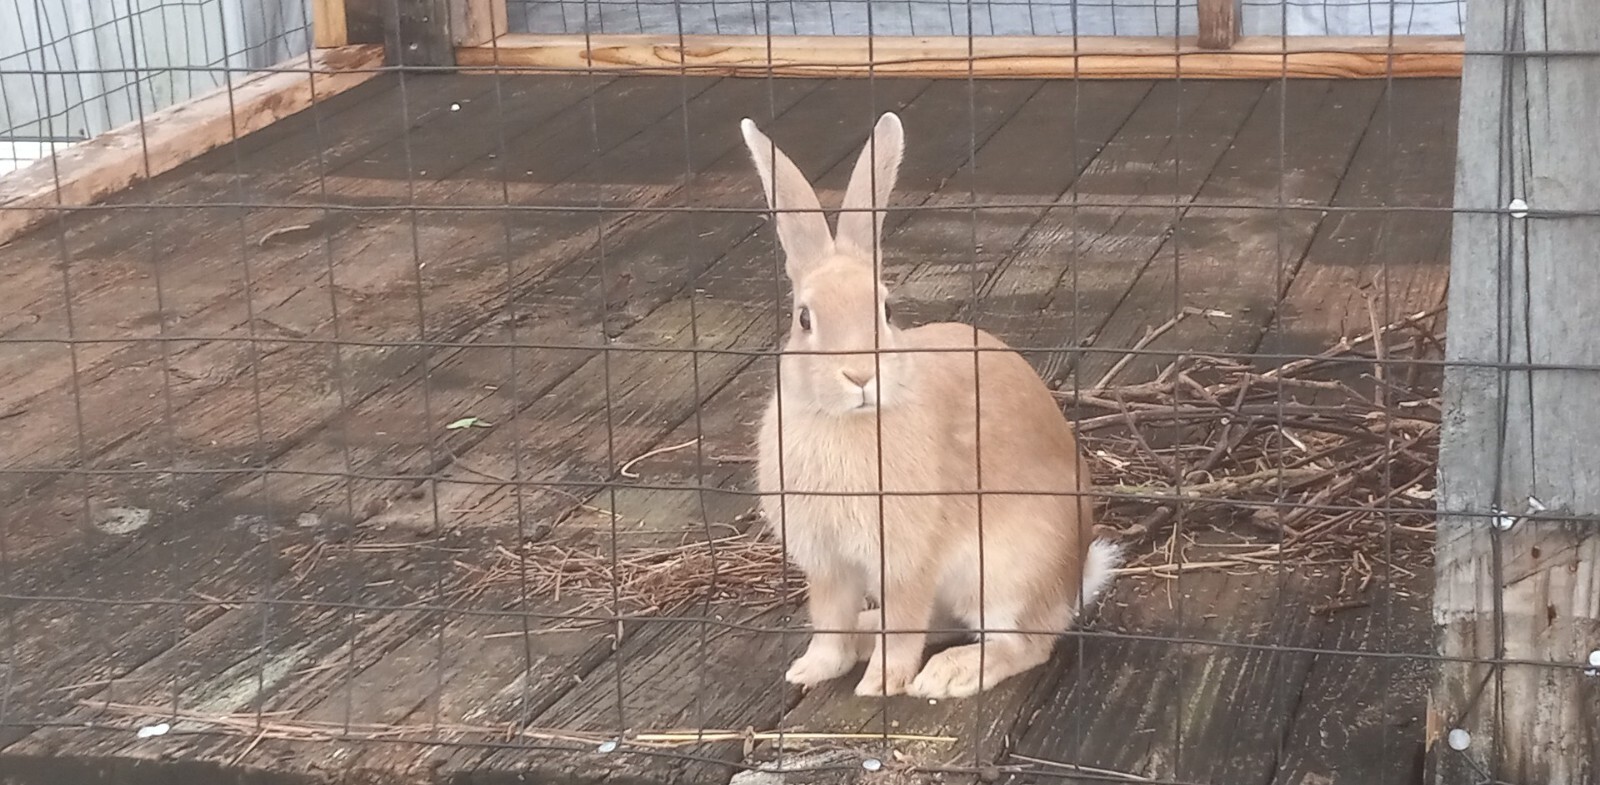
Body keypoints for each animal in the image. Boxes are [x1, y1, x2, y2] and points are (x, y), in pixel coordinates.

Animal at [742, 111, 1123, 700]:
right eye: (804, 318)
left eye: (886, 310)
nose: (860, 374)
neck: (851, 421)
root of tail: (1072, 580)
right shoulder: (829, 565)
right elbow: (828, 620)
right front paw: (812, 669)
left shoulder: (907, 560)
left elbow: (904, 625)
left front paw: (881, 685)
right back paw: (867, 634)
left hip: (1000, 572)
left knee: (1024, 644)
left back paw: (949, 673)